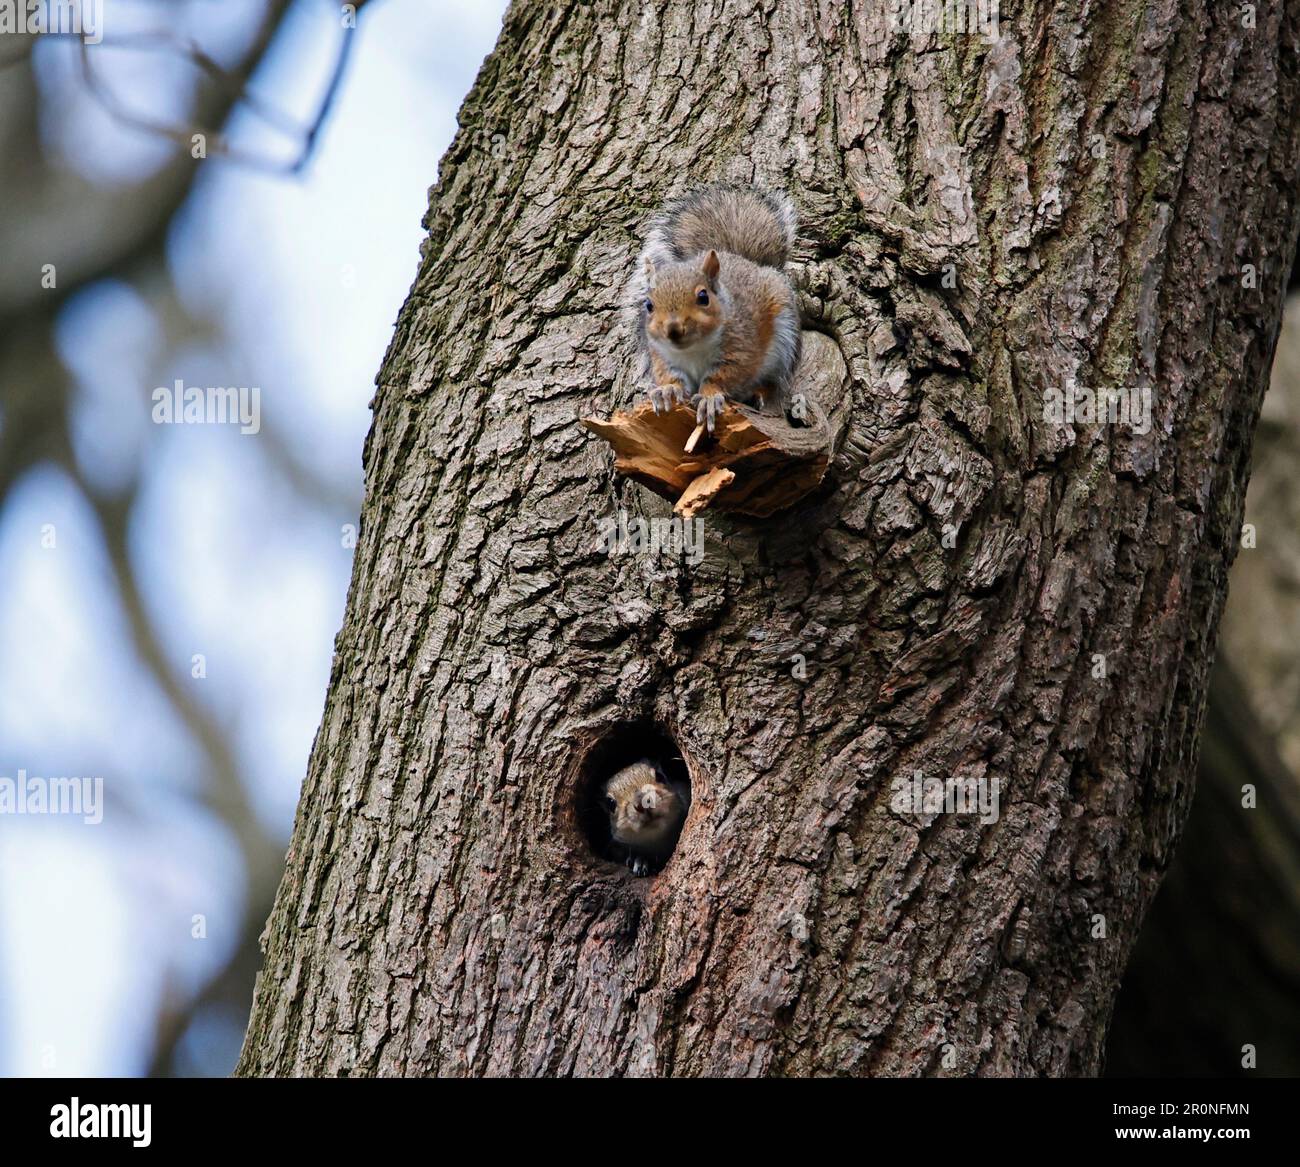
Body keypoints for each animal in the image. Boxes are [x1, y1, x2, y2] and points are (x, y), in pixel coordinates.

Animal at [629, 183, 802, 433]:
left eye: (703, 297)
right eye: (648, 305)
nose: (673, 329)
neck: (692, 350)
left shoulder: (740, 349)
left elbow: (722, 377)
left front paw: (709, 399)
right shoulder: (661, 354)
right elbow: (669, 375)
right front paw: (668, 390)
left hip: (785, 337)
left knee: (773, 380)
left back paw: (761, 393)